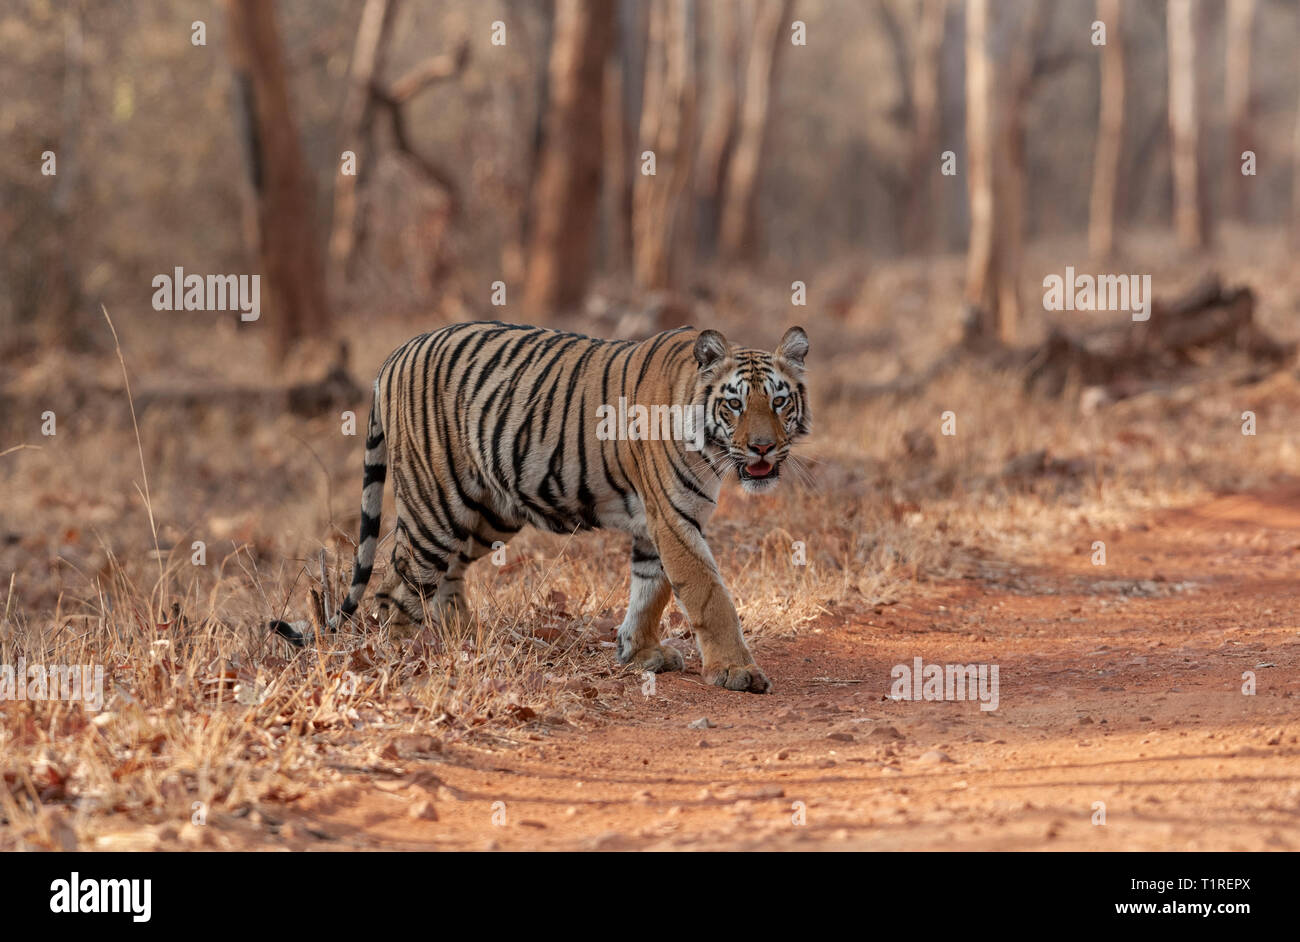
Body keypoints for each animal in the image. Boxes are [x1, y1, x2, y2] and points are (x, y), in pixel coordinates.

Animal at [272, 321, 810, 693]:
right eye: (735, 404)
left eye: (779, 402)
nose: (763, 448)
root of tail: (396, 354)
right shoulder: (675, 520)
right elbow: (708, 595)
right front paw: (736, 671)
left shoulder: (658, 523)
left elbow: (650, 589)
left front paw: (640, 653)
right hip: (434, 508)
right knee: (395, 589)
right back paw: (404, 660)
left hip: (487, 513)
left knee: (445, 577)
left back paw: (463, 641)